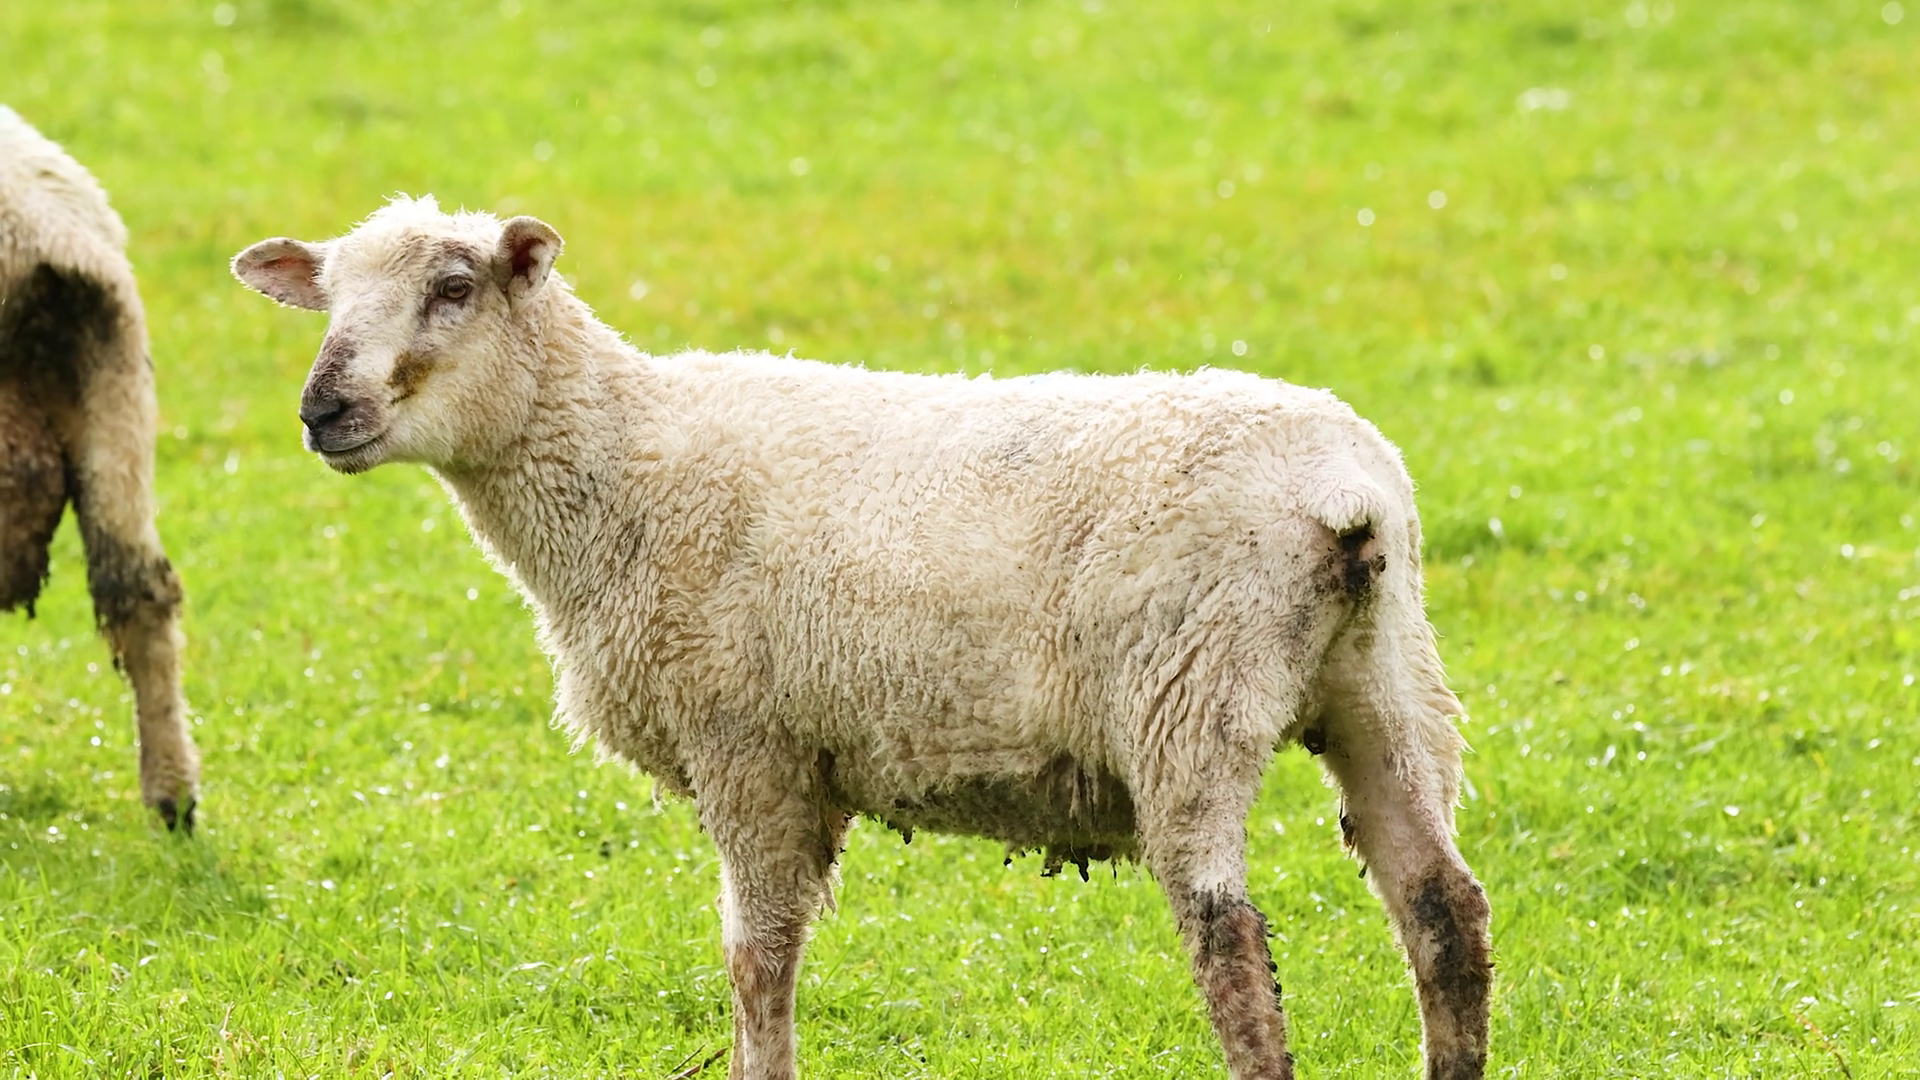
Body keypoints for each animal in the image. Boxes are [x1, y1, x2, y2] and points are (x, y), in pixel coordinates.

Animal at [232, 195, 1492, 1080]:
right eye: (327, 297)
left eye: (454, 286)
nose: (322, 410)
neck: (623, 464)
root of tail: (1345, 495)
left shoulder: (749, 744)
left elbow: (758, 958)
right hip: (1389, 683)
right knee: (1444, 908)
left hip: (1191, 700)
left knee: (1230, 941)